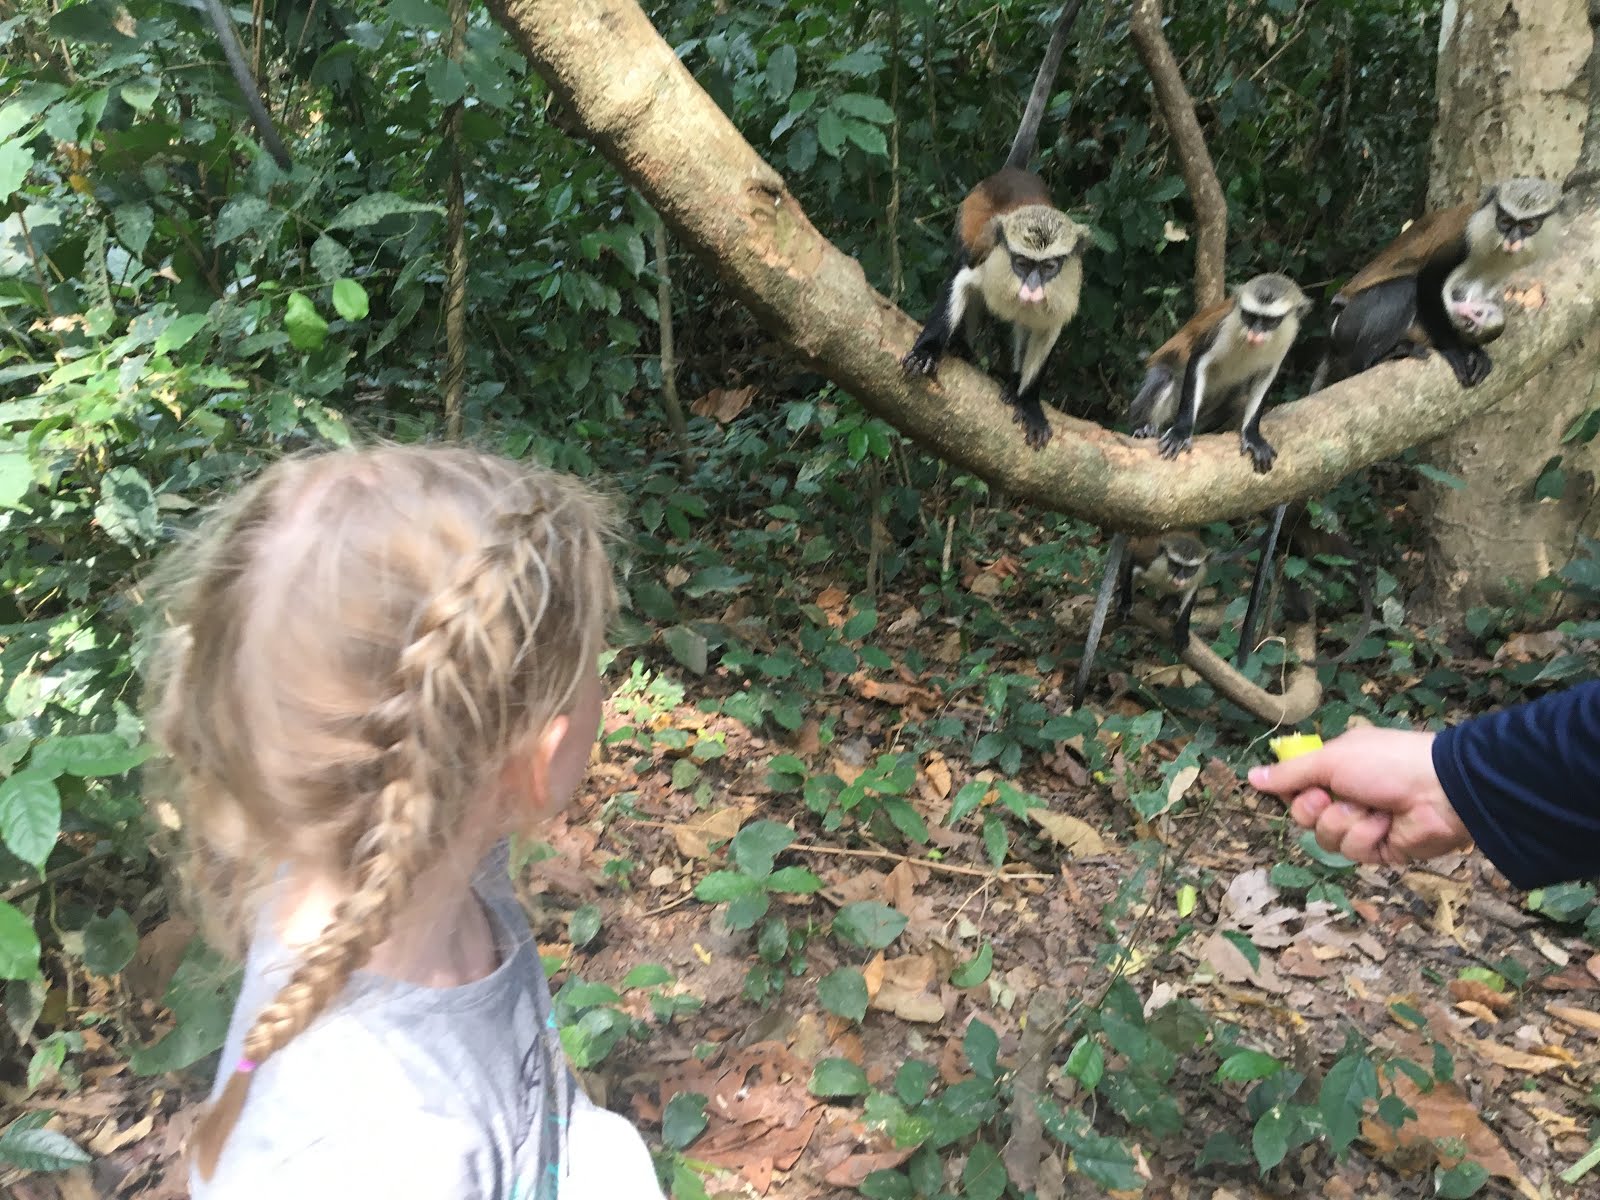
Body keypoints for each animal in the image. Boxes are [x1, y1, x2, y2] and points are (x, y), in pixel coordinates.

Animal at [899, 3, 1091, 452]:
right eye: (1022, 263)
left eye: (1049, 267)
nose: (1032, 288)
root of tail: (1011, 172)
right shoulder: (986, 261)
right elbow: (958, 283)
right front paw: (930, 349)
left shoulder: (1062, 298)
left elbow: (1044, 333)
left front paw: (1028, 399)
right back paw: (959, 346)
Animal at [1128, 274, 1312, 474]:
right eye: (1250, 316)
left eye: (1270, 321)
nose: (1255, 333)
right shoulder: (1223, 328)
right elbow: (1198, 361)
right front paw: (1181, 431)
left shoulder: (1284, 343)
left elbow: (1265, 378)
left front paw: (1252, 436)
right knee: (1164, 378)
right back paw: (1147, 430)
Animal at [1315, 177, 1560, 388]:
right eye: (1506, 221)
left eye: (1529, 225)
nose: (1513, 239)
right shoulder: (1462, 240)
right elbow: (1428, 279)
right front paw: (1456, 351)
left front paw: (1474, 349)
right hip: (1350, 322)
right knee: (1404, 288)